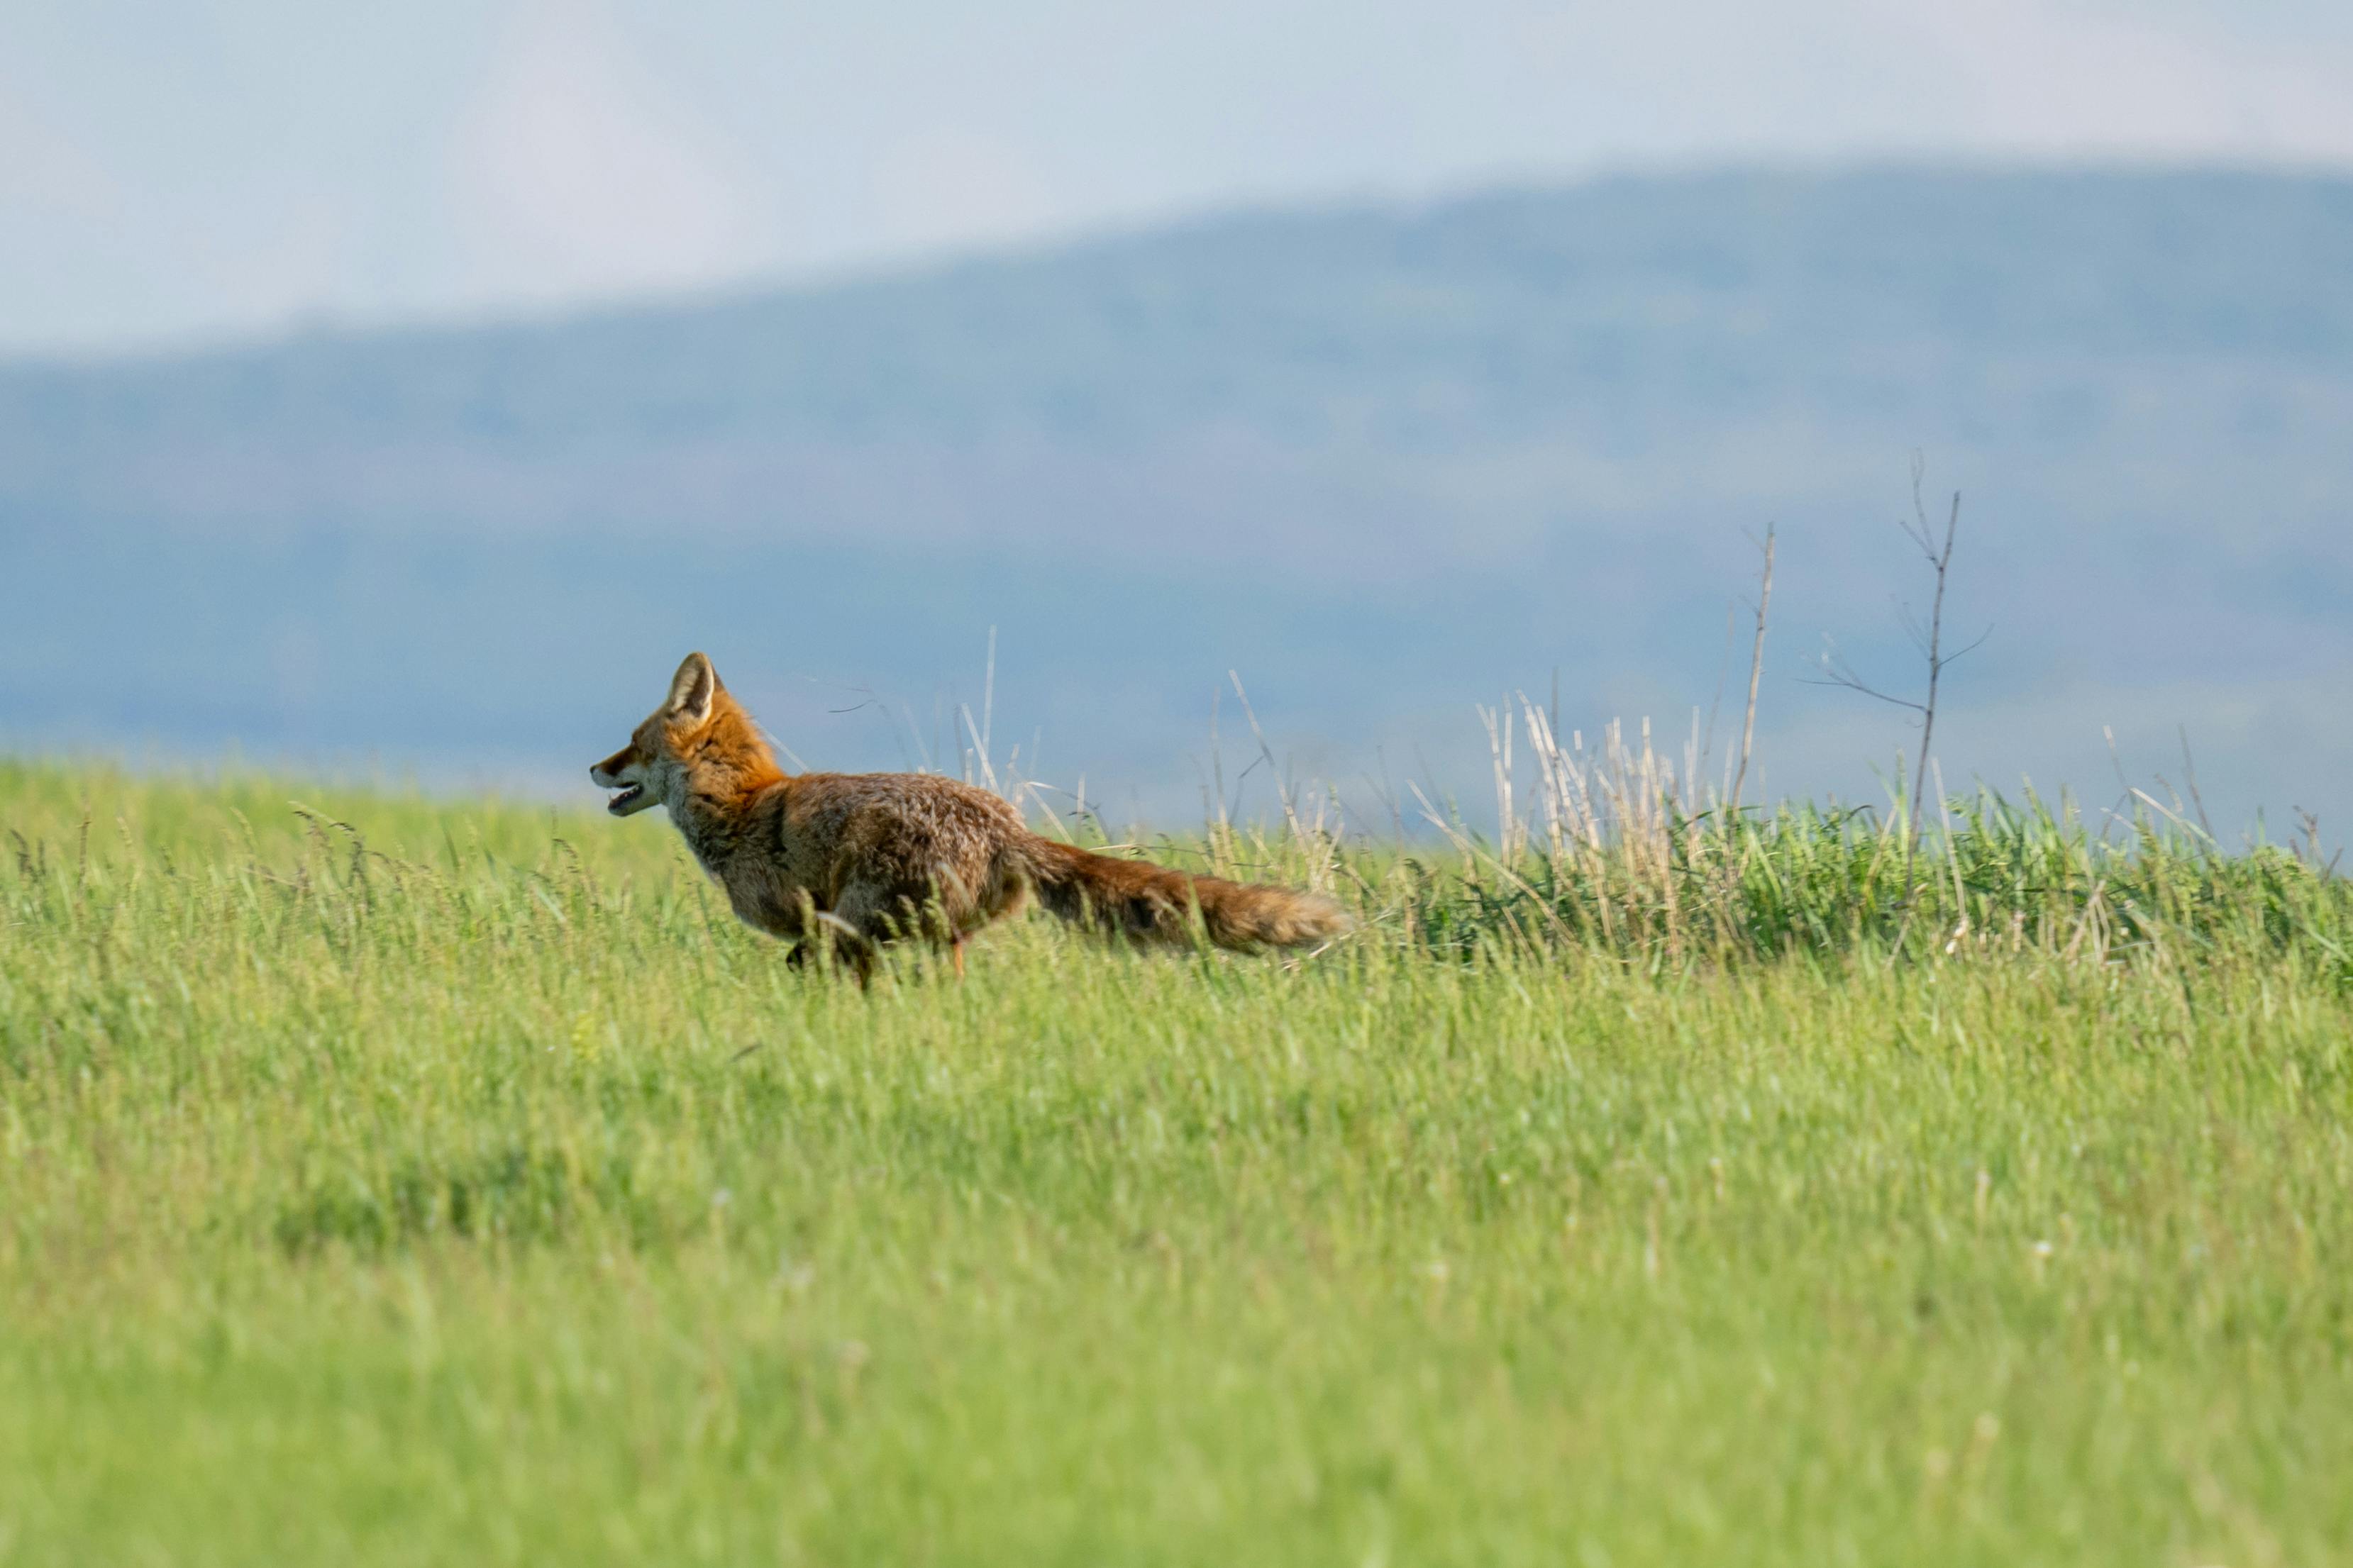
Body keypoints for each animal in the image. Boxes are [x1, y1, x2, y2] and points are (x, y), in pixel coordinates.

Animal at [590, 652, 1350, 979]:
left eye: (632, 743)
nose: (596, 768)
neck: (742, 810)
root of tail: (1008, 828)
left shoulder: (822, 927)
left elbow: (809, 968)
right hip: (937, 932)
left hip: (876, 917)